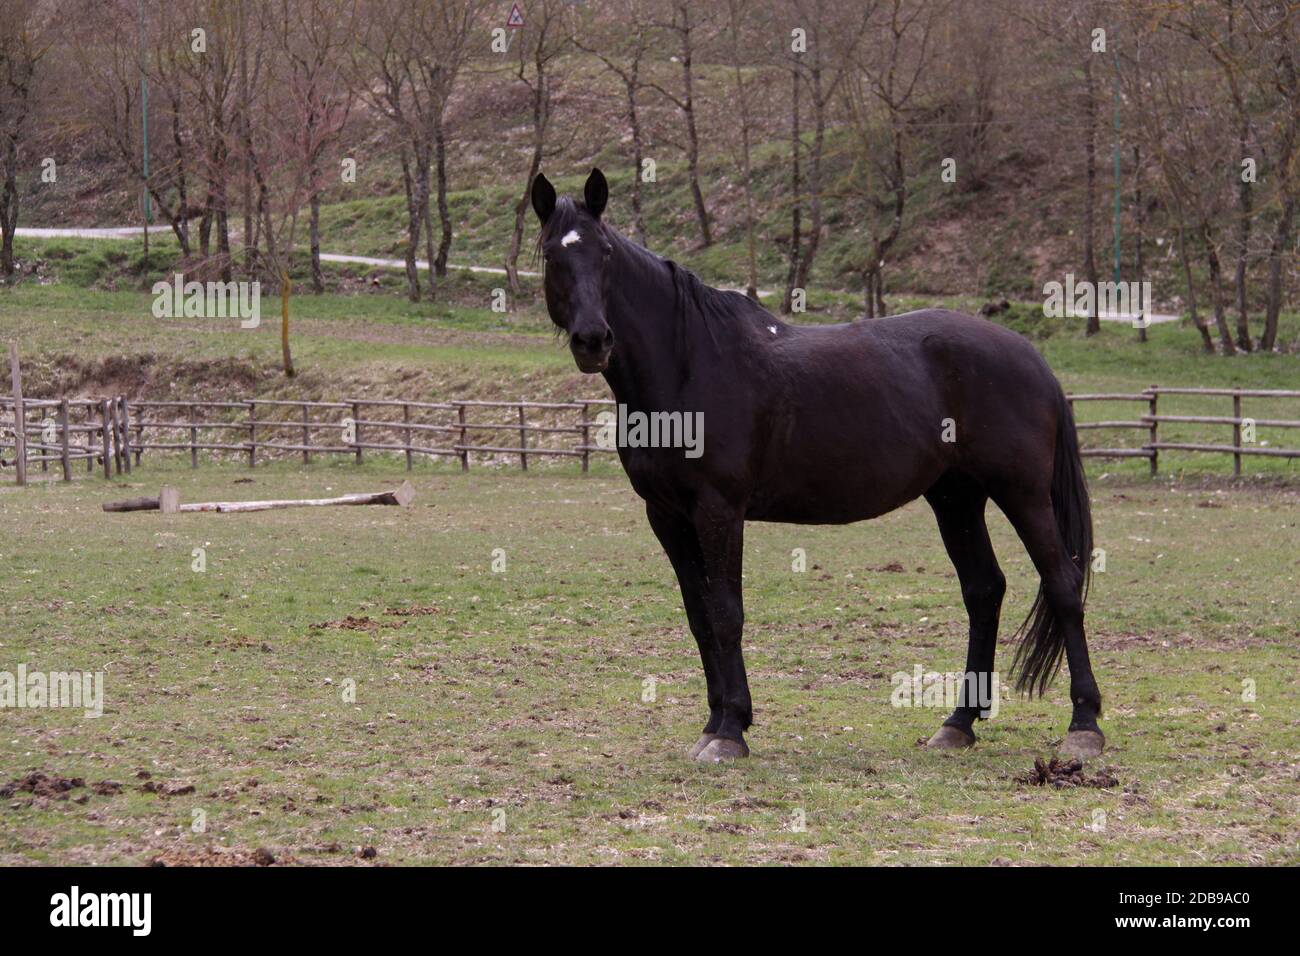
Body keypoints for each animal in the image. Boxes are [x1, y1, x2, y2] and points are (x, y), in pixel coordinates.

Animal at [531, 168, 1104, 764]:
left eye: (605, 253)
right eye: (551, 254)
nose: (593, 340)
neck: (688, 363)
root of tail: (1031, 356)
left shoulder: (719, 510)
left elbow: (726, 613)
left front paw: (731, 730)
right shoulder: (666, 516)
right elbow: (699, 617)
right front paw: (714, 723)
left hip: (1022, 493)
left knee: (1062, 583)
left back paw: (1084, 724)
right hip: (956, 498)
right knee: (984, 590)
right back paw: (959, 722)